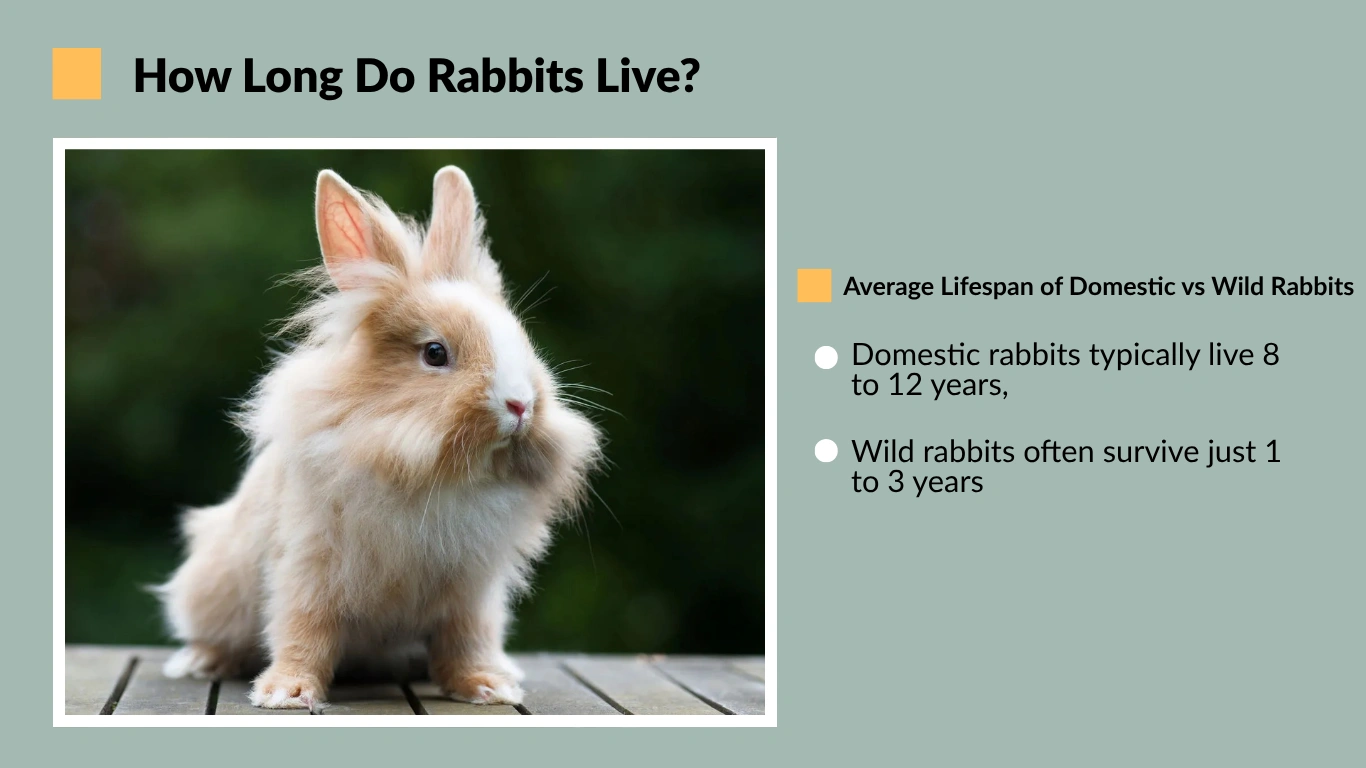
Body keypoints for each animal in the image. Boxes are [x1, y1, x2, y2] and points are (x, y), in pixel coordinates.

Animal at [155, 166, 602, 710]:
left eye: (522, 341)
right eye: (435, 353)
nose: (520, 405)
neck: (434, 475)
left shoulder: (472, 590)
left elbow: (467, 639)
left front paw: (487, 686)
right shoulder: (310, 567)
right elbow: (304, 629)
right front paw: (287, 692)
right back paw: (200, 661)